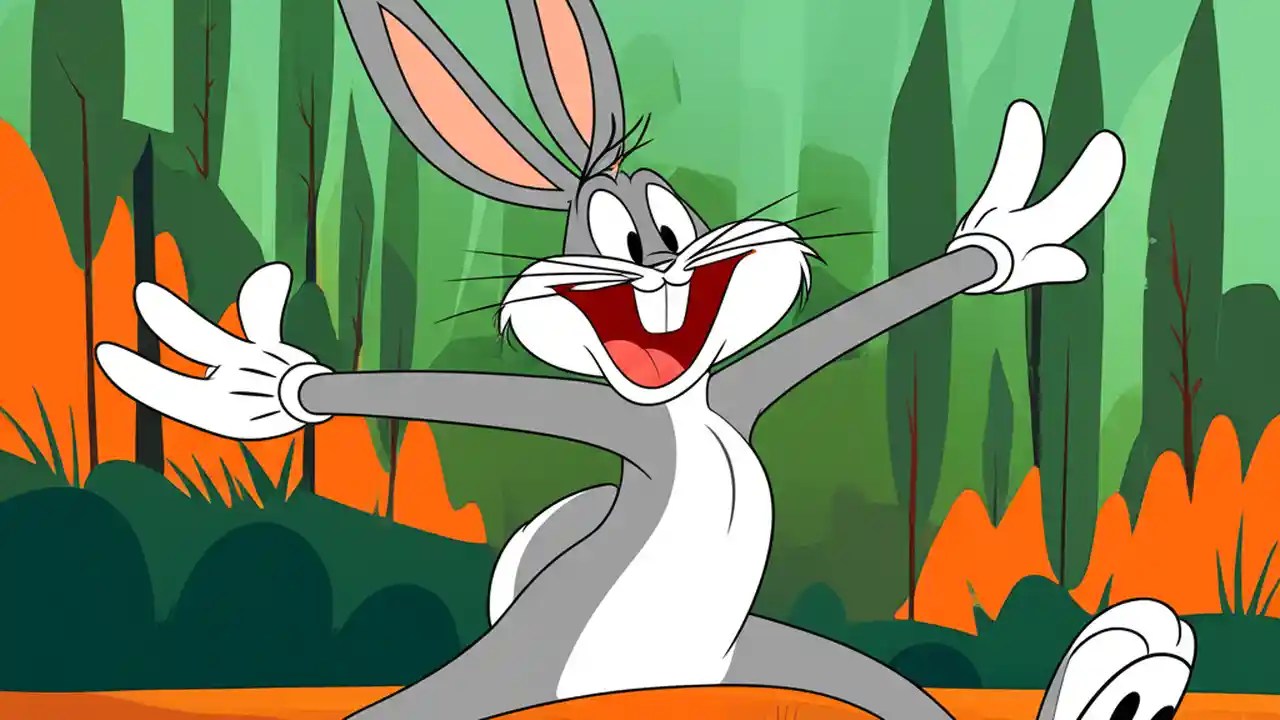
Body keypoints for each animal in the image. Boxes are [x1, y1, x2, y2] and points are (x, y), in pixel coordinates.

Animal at [95, 0, 1197, 718]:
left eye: (667, 223)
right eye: (615, 237)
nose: (660, 262)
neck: (682, 412)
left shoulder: (744, 389)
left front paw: (1004, 237)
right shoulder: (603, 417)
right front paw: (264, 383)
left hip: (741, 656)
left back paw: (1119, 683)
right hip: (528, 660)